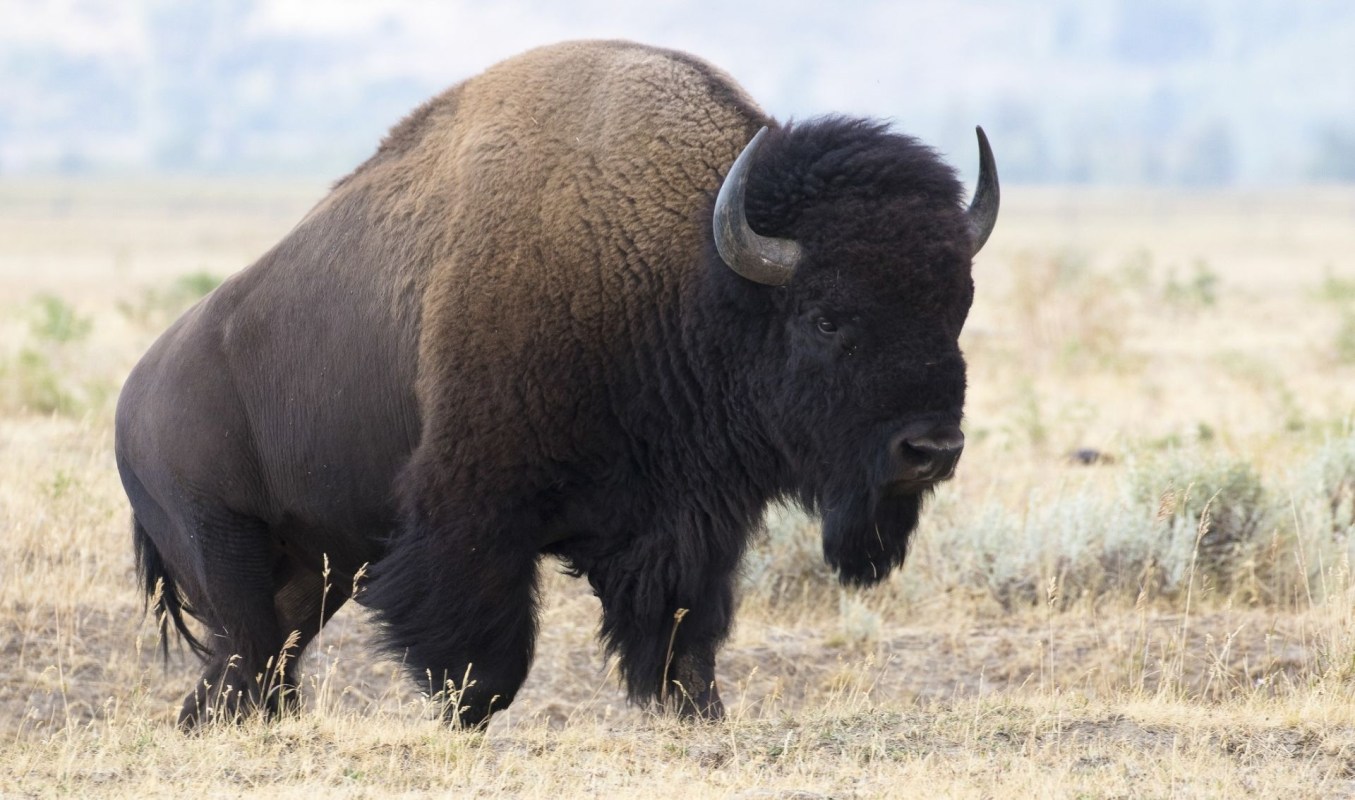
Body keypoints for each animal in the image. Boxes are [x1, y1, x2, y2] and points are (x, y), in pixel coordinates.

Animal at [114, 39, 998, 729]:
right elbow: (484, 657)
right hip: (224, 546)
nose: (930, 449)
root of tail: (130, 402)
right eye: (825, 318)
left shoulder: (689, 525)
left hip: (318, 569)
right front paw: (464, 717)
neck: (686, 274)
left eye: (957, 304)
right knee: (250, 657)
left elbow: (683, 635)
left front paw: (696, 710)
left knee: (250, 671)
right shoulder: (472, 516)